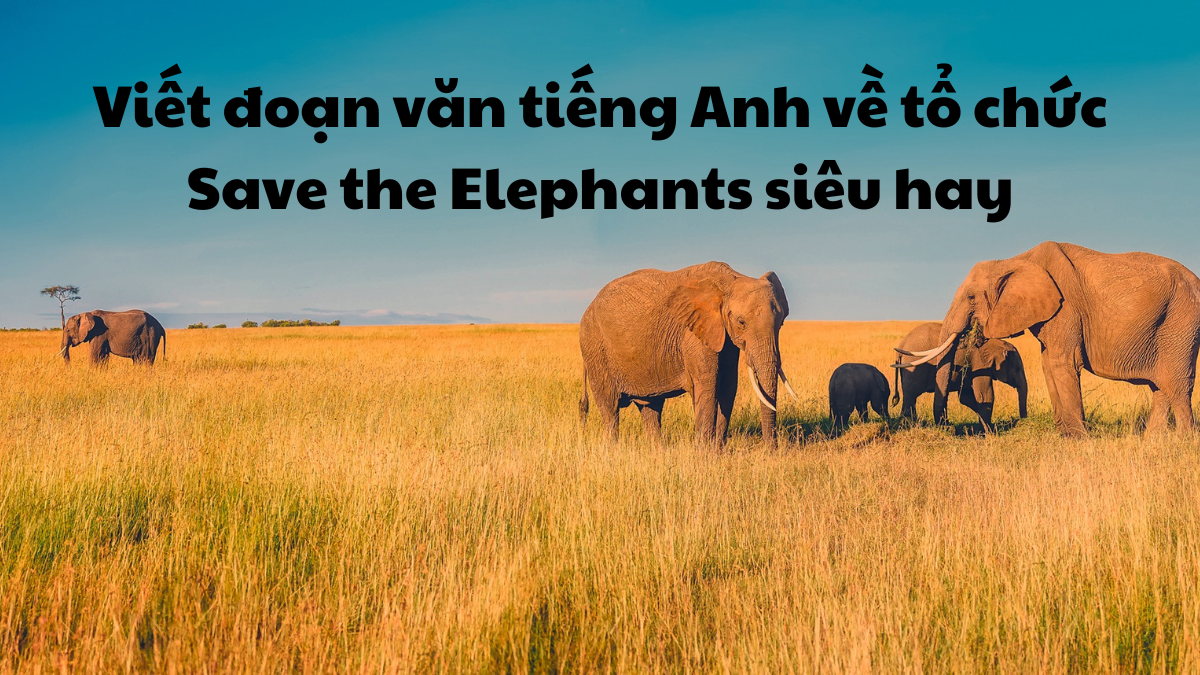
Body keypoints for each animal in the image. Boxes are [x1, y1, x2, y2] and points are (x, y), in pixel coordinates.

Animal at [579, 261, 796, 448]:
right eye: (741, 322)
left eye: (781, 323)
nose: (771, 451)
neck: (729, 280)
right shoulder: (693, 334)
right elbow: (708, 386)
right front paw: (705, 455)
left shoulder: (723, 335)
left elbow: (728, 386)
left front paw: (718, 452)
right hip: (595, 347)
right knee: (610, 408)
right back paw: (612, 449)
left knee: (650, 408)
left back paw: (658, 451)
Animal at [891, 322, 1028, 431]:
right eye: (1017, 369)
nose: (1023, 419)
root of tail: (901, 345)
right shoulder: (979, 364)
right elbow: (984, 395)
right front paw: (990, 432)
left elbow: (965, 397)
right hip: (915, 368)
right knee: (911, 396)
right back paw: (908, 425)